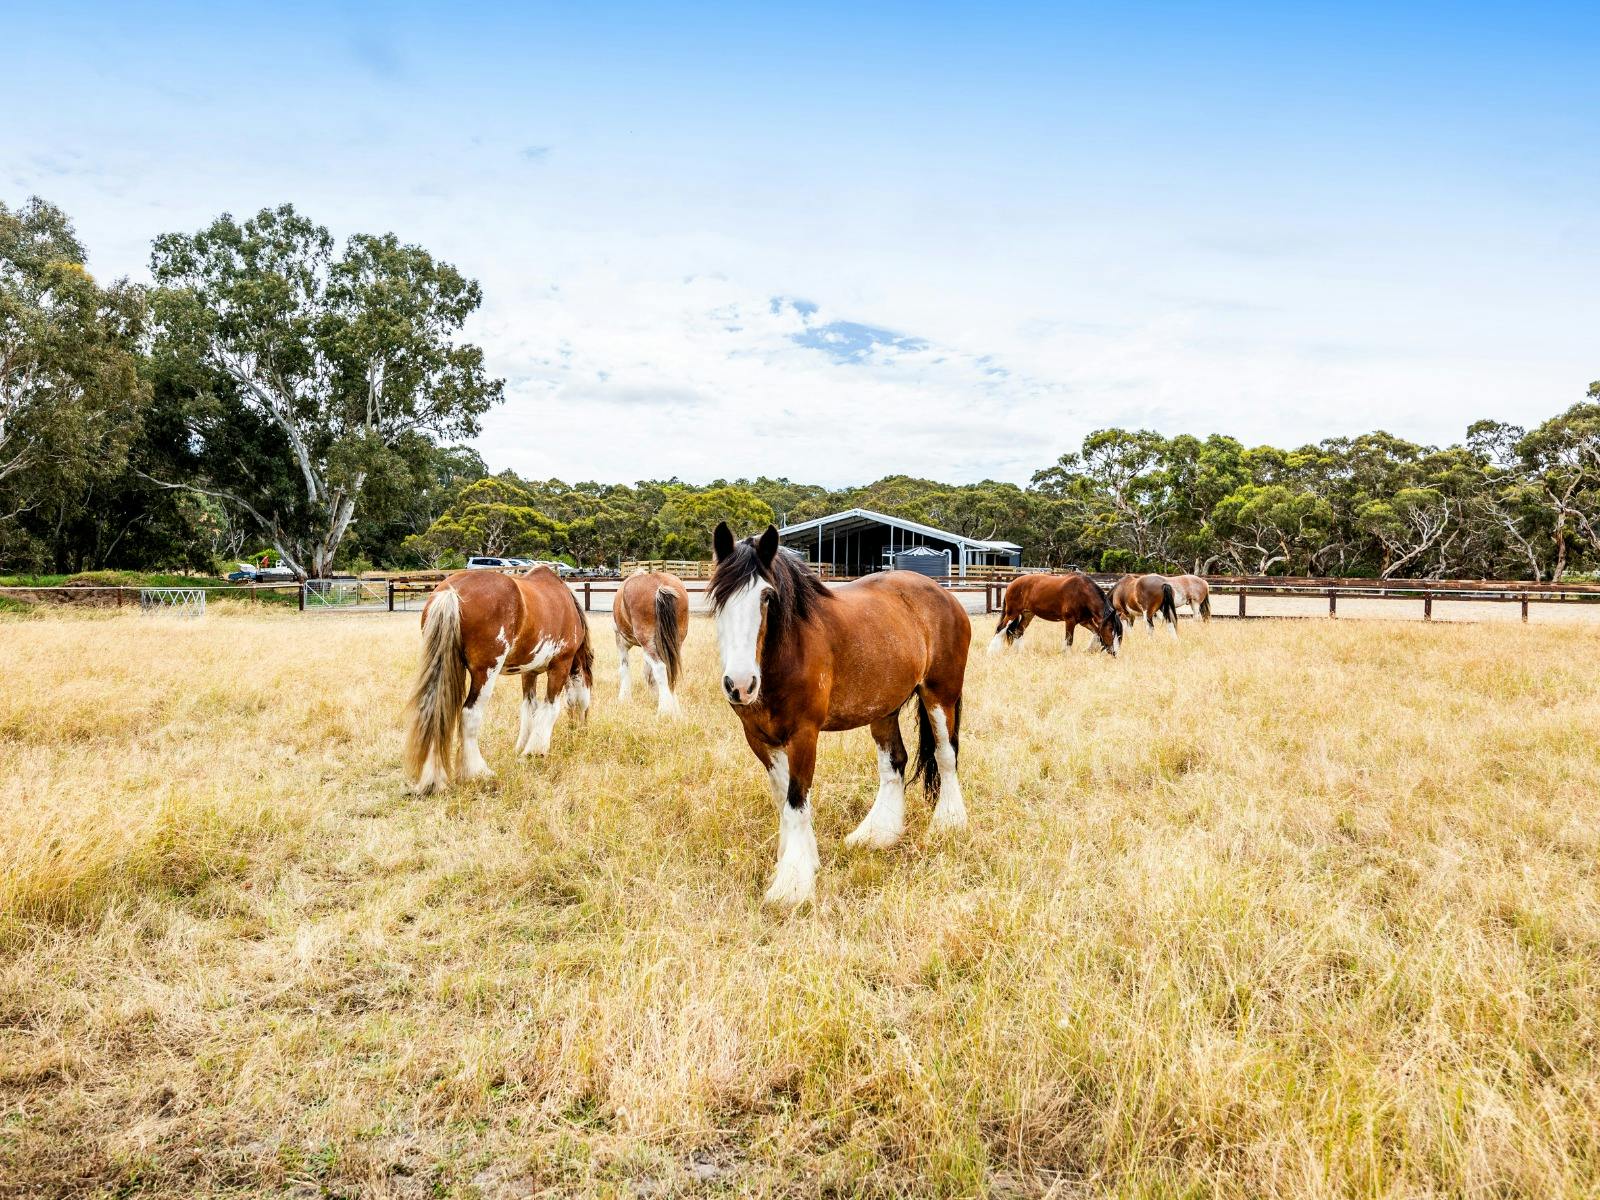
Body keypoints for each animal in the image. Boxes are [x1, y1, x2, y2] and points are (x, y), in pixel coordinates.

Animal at [403, 566, 594, 793]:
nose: (581, 731)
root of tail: (451, 592)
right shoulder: (560, 665)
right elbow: (550, 708)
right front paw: (535, 751)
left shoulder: (529, 672)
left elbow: (529, 708)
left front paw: (522, 746)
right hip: (486, 673)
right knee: (469, 715)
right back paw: (477, 772)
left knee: (435, 713)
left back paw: (433, 780)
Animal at [613, 568, 690, 716]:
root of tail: (660, 586)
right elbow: (649, 673)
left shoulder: (621, 642)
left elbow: (624, 668)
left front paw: (624, 698)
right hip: (675, 641)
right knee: (671, 668)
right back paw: (675, 709)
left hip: (647, 642)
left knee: (660, 668)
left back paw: (664, 710)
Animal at [709, 522, 971, 908]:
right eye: (719, 597)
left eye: (767, 597)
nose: (740, 685)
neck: (788, 650)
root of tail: (946, 596)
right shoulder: (759, 737)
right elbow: (783, 799)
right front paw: (795, 860)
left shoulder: (803, 735)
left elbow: (796, 799)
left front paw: (792, 885)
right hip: (884, 707)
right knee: (895, 762)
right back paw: (877, 834)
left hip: (940, 695)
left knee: (946, 754)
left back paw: (949, 823)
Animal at [987, 572, 1122, 656]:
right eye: (1111, 629)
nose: (1114, 652)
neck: (1082, 592)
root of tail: (1011, 584)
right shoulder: (1070, 620)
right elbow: (1069, 640)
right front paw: (1066, 655)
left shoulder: (1085, 621)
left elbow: (1097, 633)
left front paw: (1089, 650)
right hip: (1012, 613)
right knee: (1001, 628)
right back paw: (991, 652)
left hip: (1028, 614)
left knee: (1018, 631)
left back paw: (1018, 652)